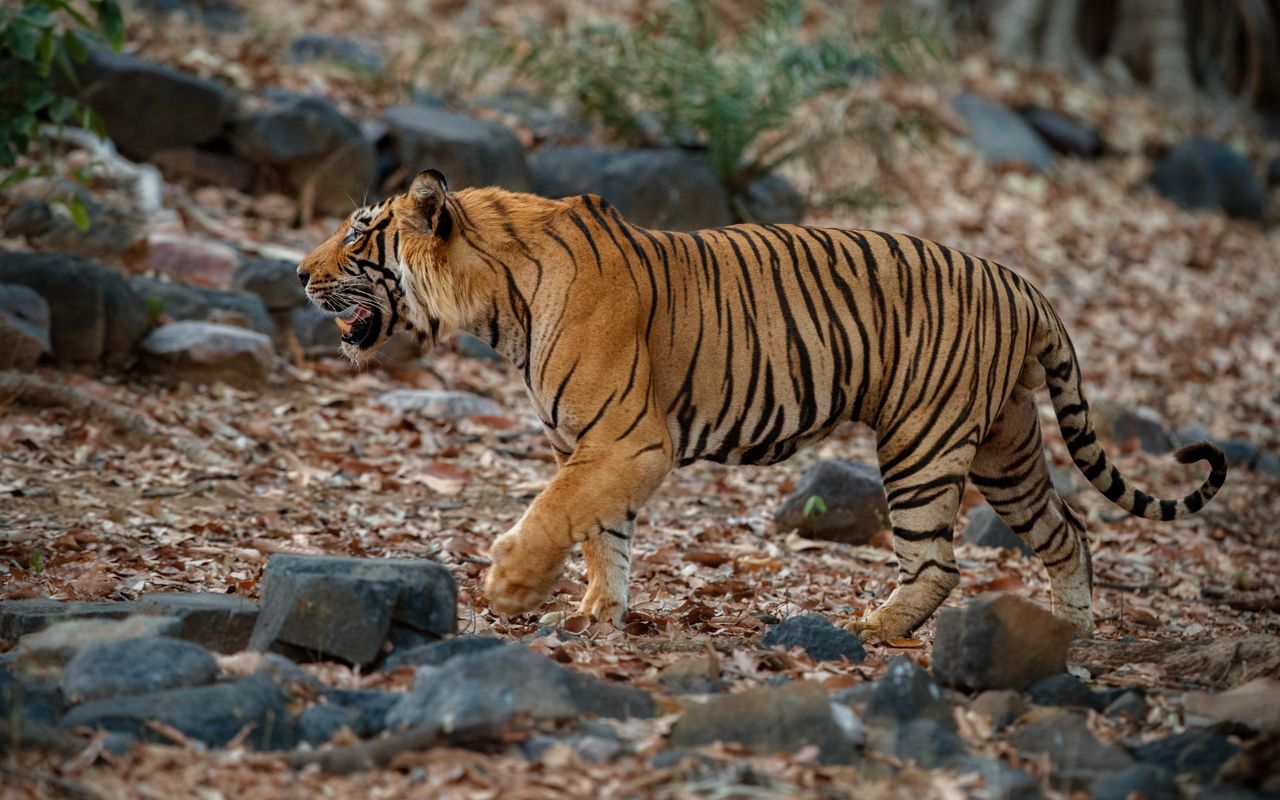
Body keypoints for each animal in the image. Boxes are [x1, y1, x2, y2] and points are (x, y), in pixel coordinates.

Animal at [296, 168, 1228, 642]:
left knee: (938, 561)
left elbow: (558, 511)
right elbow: (602, 532)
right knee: (1068, 535)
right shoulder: (593, 445)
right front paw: (600, 611)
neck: (498, 304)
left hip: (923, 444)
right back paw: (1071, 640)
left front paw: (513, 586)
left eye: (358, 233)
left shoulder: (628, 440)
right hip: (1007, 448)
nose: (299, 274)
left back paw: (872, 627)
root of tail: (1025, 284)